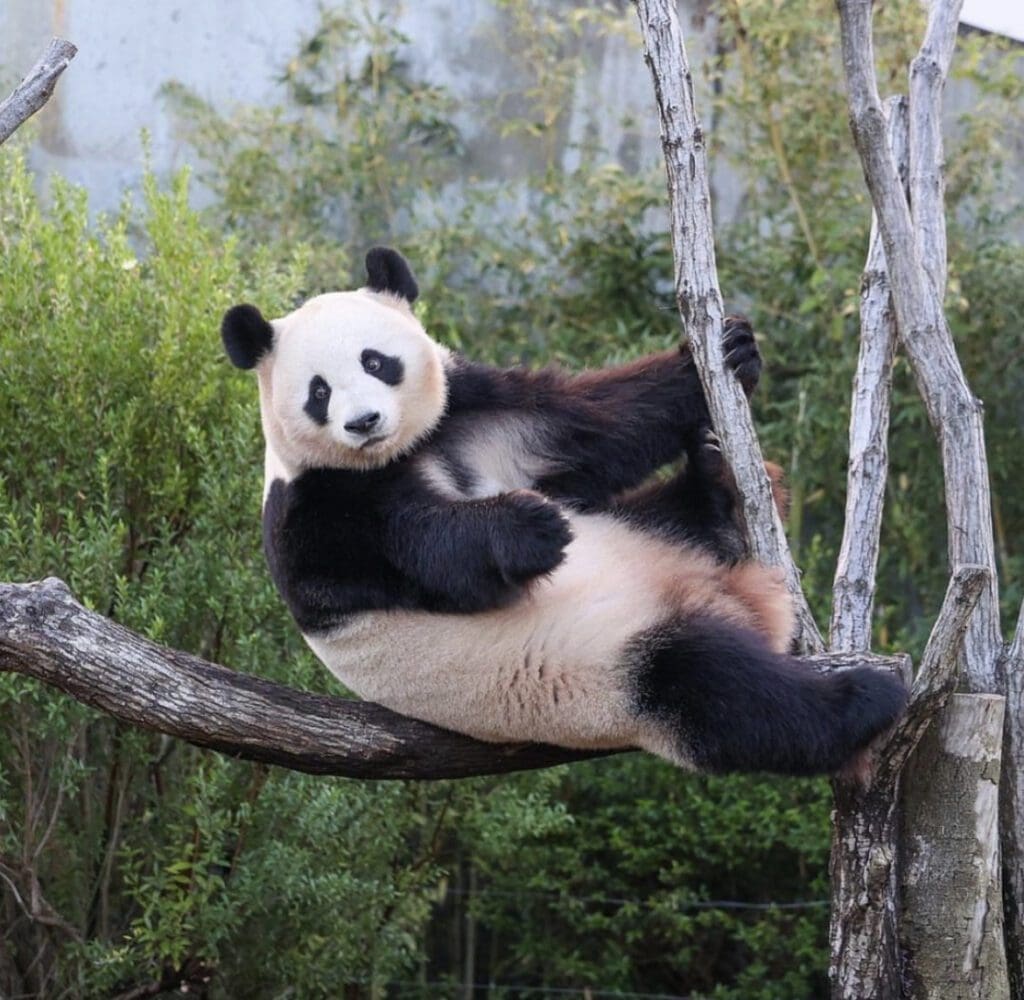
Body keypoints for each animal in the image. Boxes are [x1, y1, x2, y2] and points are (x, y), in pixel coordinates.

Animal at [221, 246, 906, 775]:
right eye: (318, 391)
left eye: (375, 361)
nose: (363, 422)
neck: (402, 453)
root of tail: (729, 598)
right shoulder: (318, 514)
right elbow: (423, 550)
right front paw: (530, 529)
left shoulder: (470, 410)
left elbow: (589, 428)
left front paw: (729, 351)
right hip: (611, 673)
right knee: (720, 695)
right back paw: (865, 695)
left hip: (644, 533)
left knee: (682, 519)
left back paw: (719, 484)